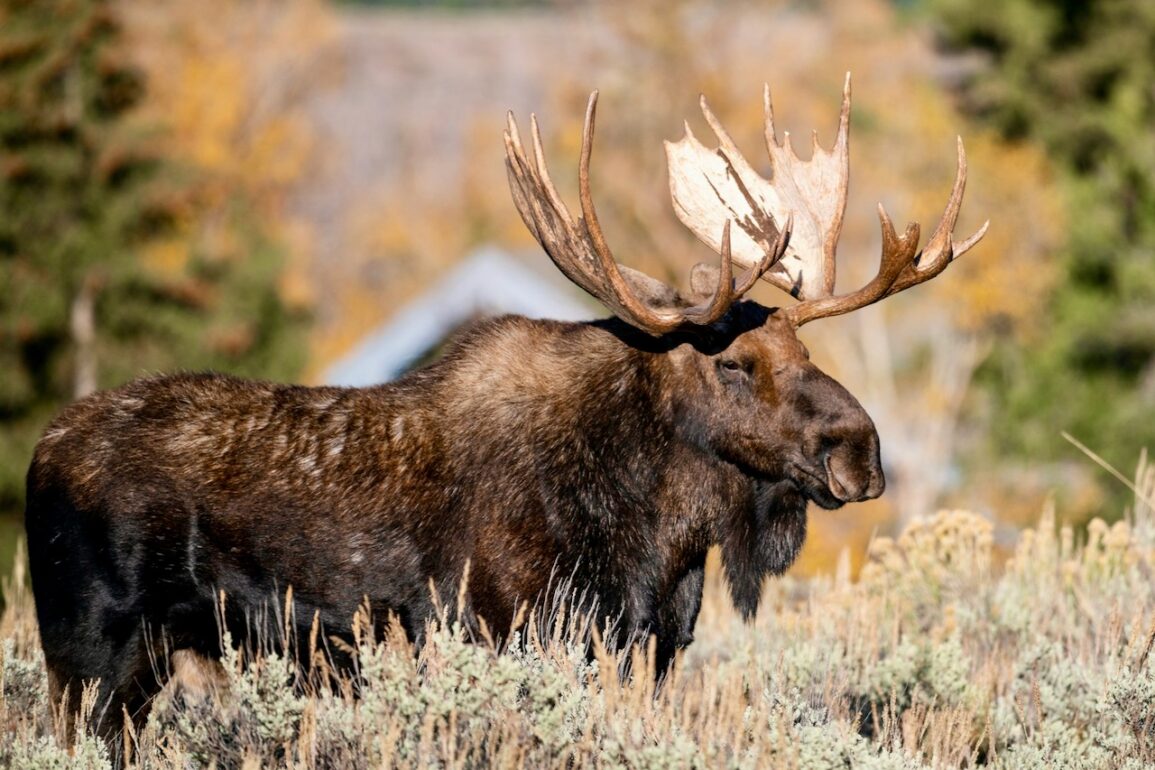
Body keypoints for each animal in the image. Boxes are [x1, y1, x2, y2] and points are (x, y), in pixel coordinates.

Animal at [24, 74, 987, 742]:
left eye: (807, 354)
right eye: (736, 365)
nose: (859, 451)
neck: (658, 538)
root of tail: (41, 451)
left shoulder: (650, 647)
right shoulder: (505, 629)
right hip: (89, 650)